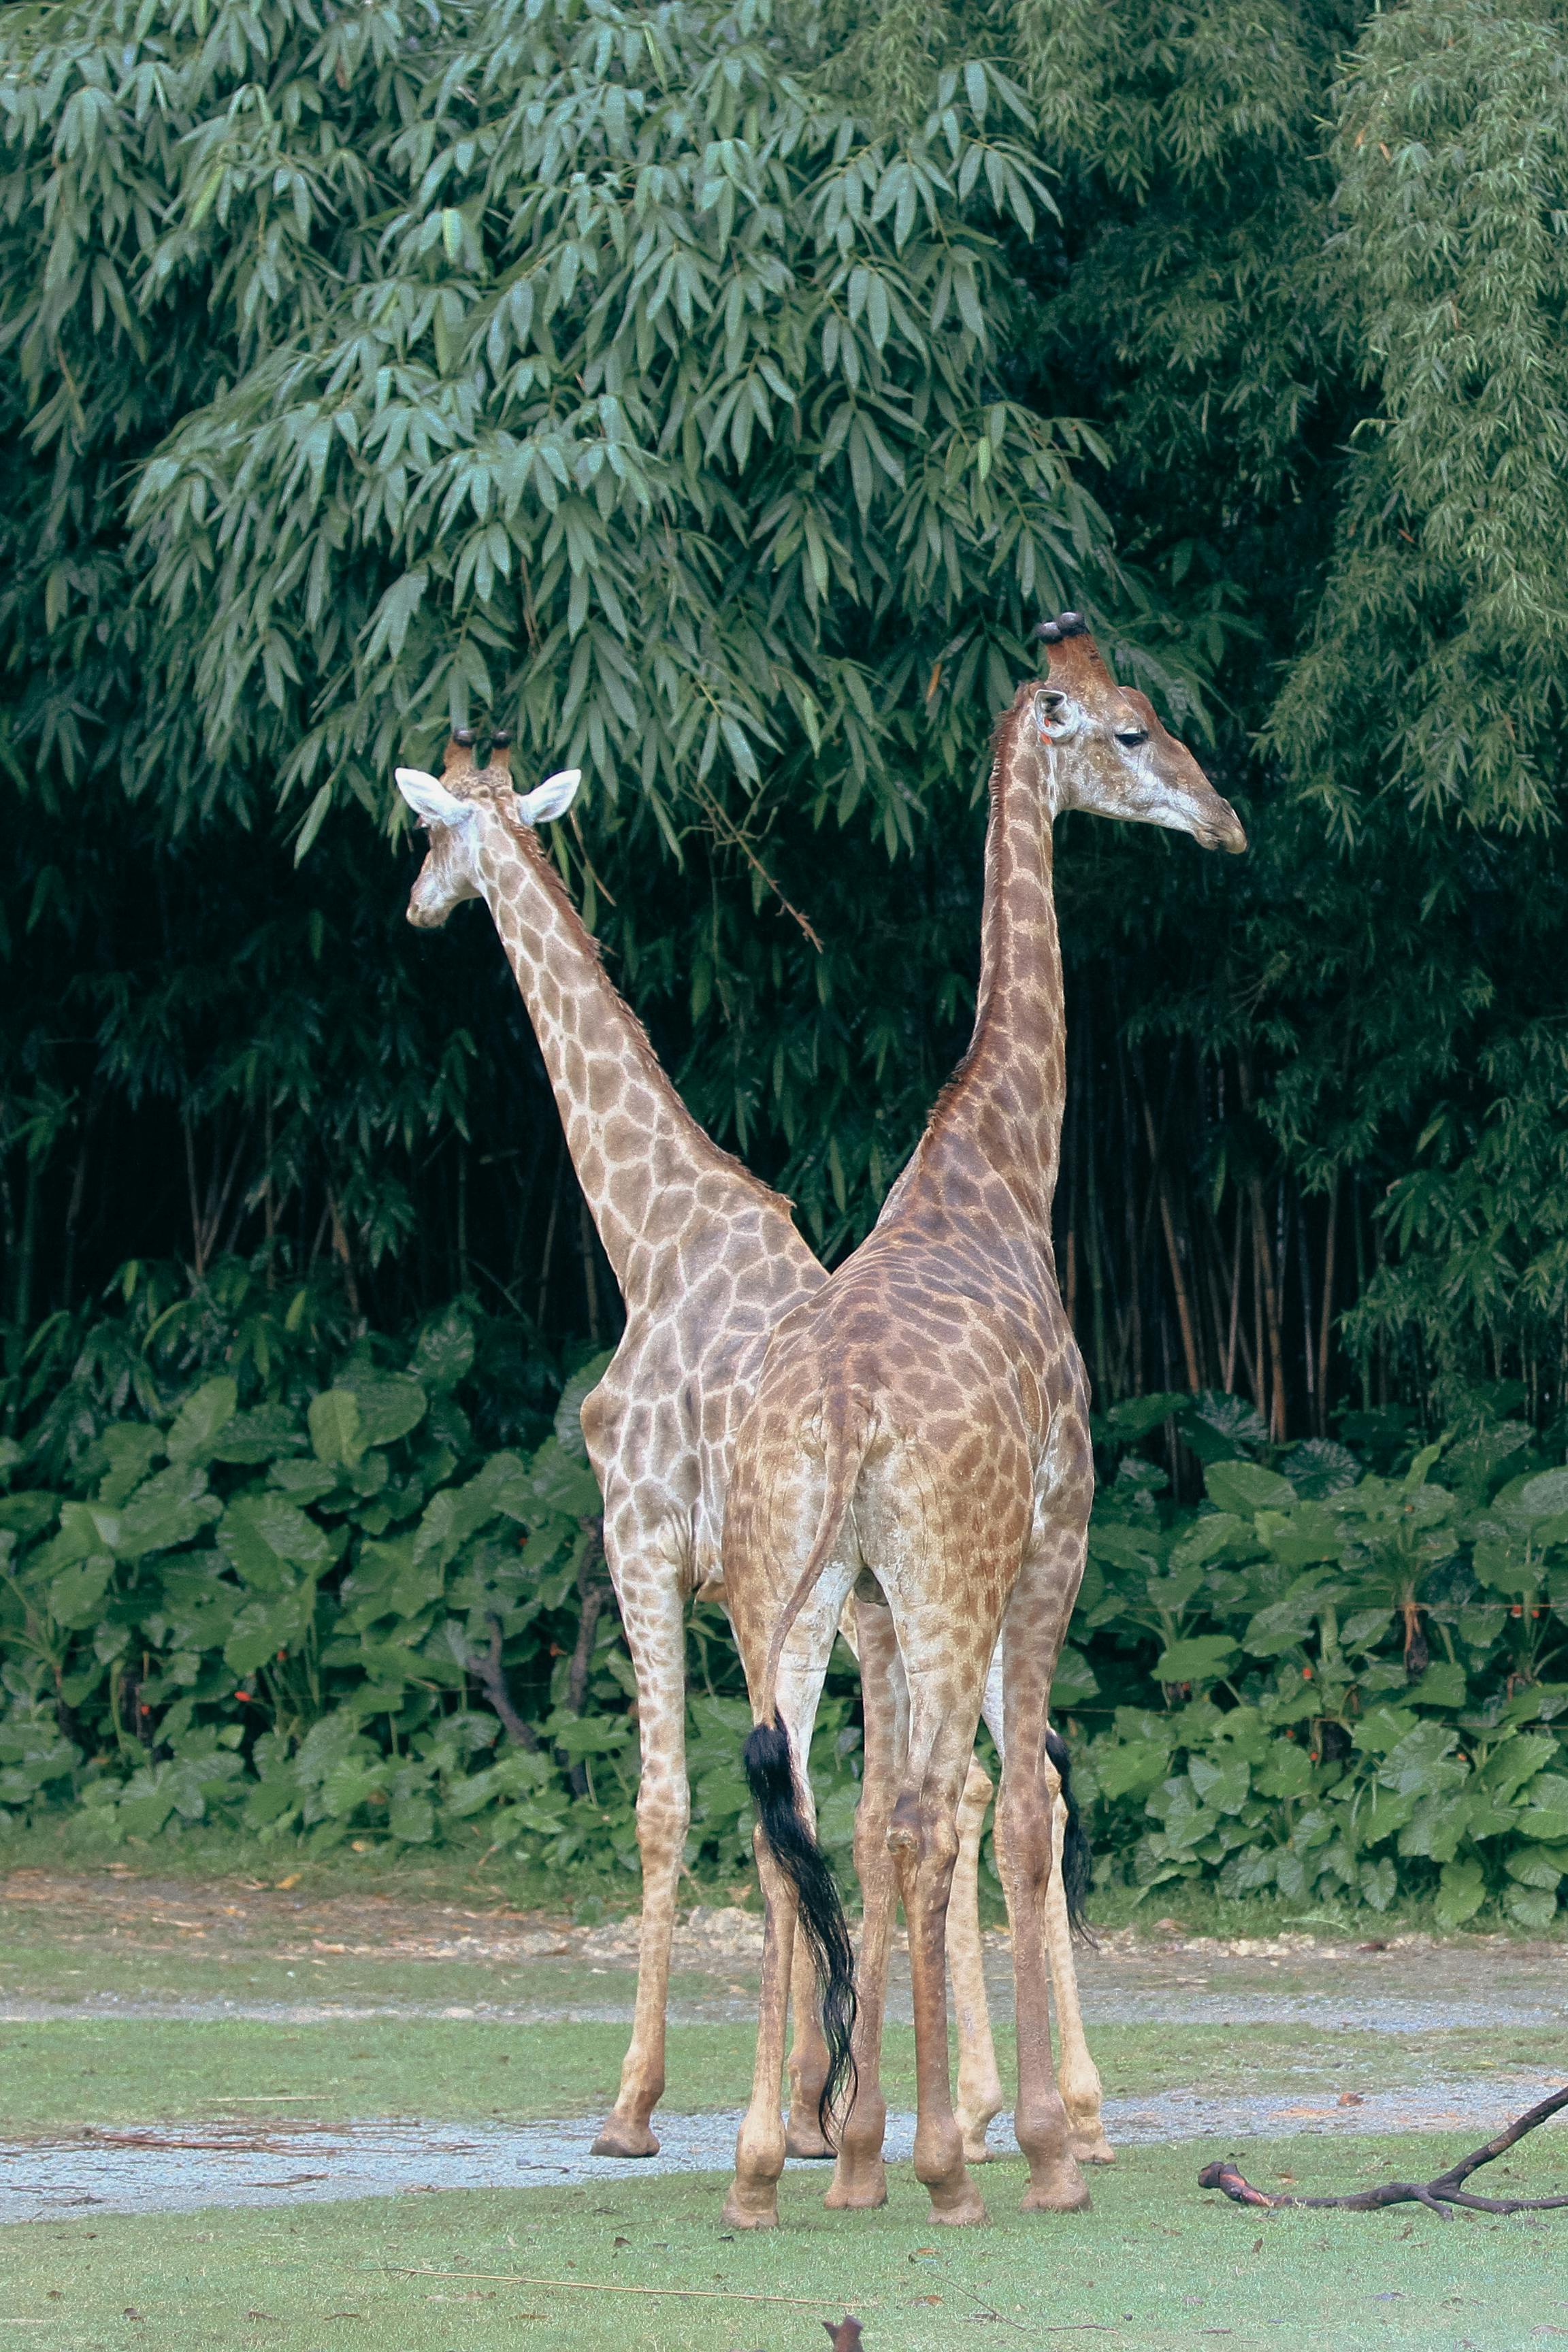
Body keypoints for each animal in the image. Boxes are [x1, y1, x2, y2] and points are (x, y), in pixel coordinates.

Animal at [393, 723, 1111, 2167]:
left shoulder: (651, 1544)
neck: (655, 1242)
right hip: (930, 1598)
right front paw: (808, 2093)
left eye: (433, 831)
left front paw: (647, 2105)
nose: (418, 905)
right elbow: (791, 1814)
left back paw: (978, 2104)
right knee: (996, 1785)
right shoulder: (752, 1589)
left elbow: (675, 1806)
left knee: (960, 1793)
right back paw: (1030, 2106)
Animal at [719, 615, 1247, 2231]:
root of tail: (836, 1415)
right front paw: (1040, 2143)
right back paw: (952, 2171)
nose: (1224, 816)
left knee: (789, 1814)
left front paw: (862, 2142)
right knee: (915, 1813)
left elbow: (893, 1813)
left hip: (781, 1587)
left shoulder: (884, 1606)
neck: (997, 1174)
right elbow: (1011, 1812)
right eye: (1131, 730)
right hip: (951, 1577)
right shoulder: (1051, 1541)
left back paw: (769, 2170)